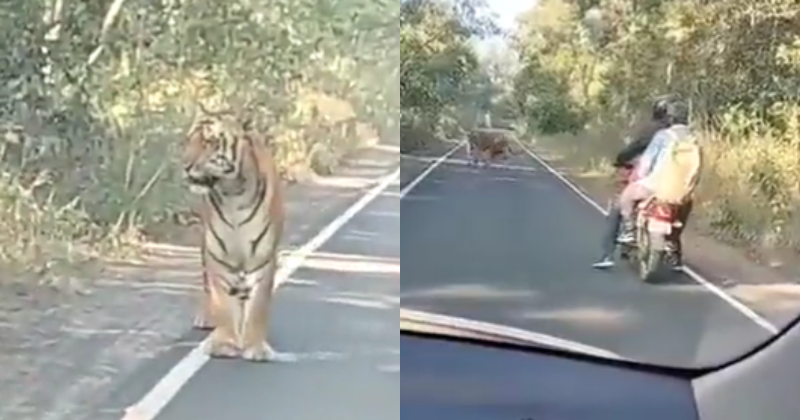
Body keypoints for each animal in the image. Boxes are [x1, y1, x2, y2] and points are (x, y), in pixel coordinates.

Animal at [182, 108, 284, 362]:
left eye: (208, 142)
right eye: (188, 140)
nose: (185, 165)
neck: (233, 194)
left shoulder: (263, 258)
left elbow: (258, 305)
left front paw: (255, 347)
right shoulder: (218, 255)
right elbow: (223, 302)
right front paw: (225, 343)